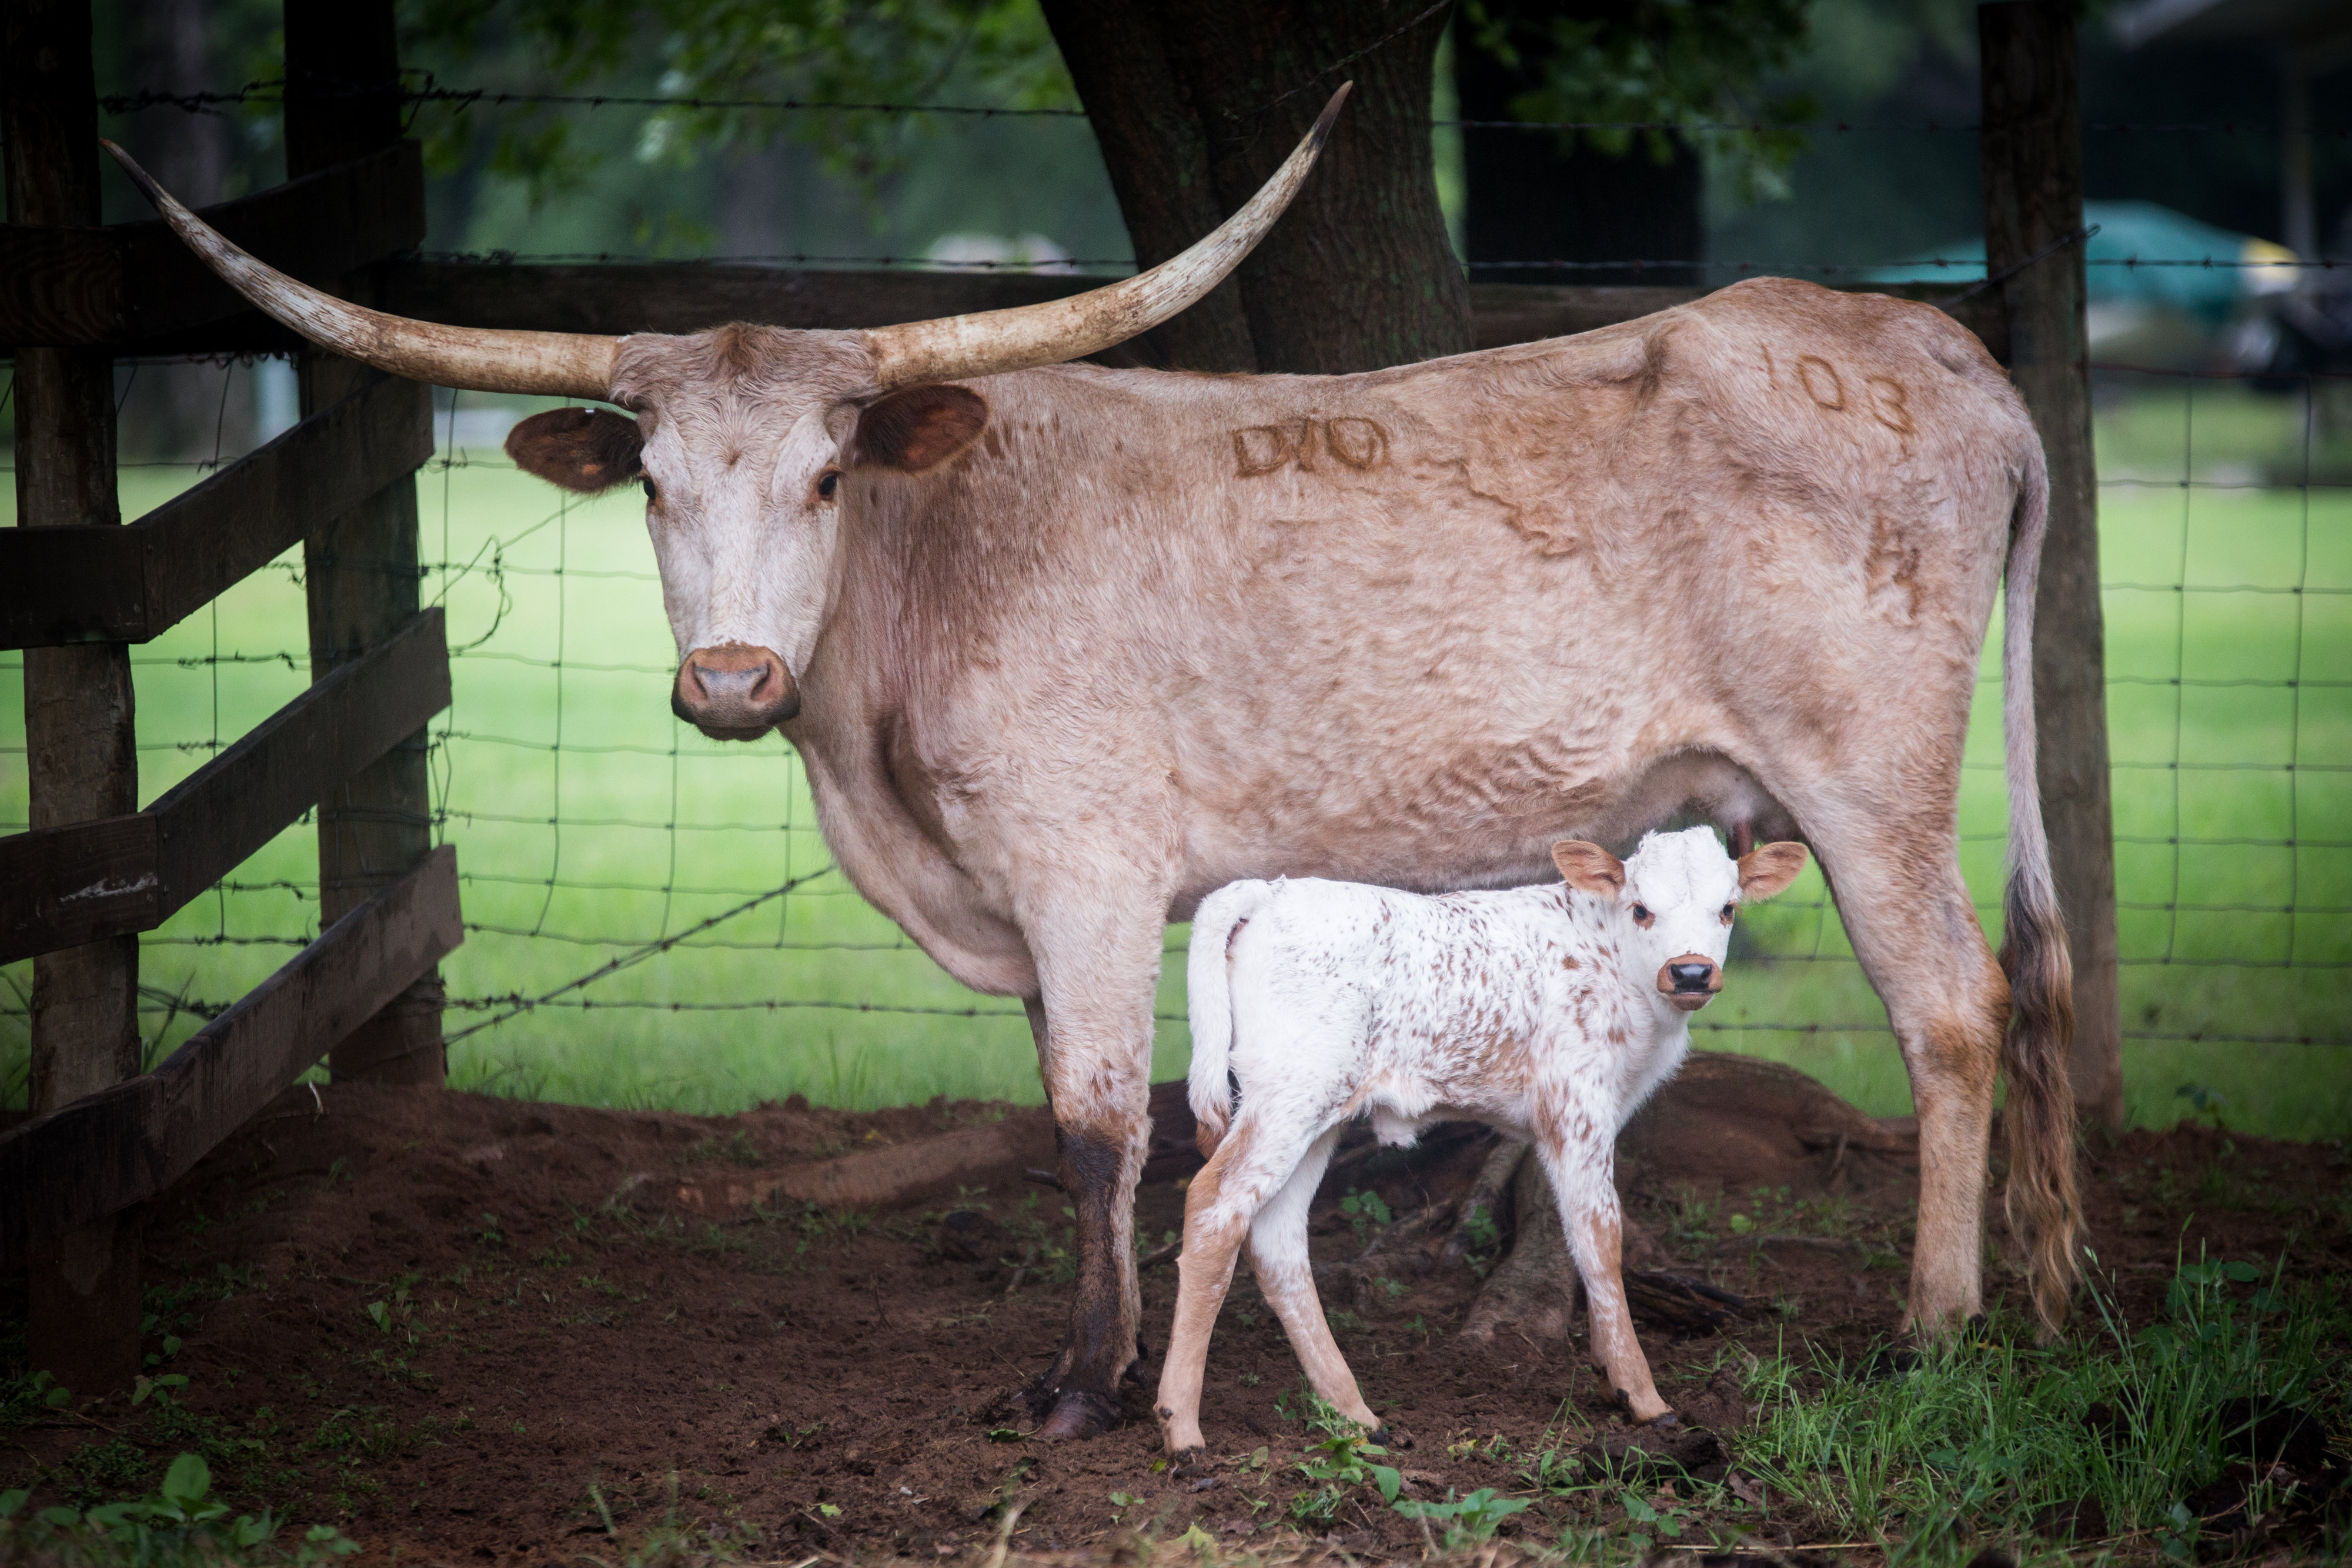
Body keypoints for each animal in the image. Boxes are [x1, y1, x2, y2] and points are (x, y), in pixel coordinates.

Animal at [1158, 826, 1811, 1454]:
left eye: (1728, 908)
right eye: (1641, 908)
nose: (1691, 972)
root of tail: (1269, 890)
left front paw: (1611, 1373)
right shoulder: (1578, 1108)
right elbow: (1600, 1238)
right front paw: (1641, 1393)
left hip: (1317, 1109)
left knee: (1277, 1236)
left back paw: (1354, 1412)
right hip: (1290, 1094)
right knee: (1214, 1206)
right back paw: (1181, 1424)